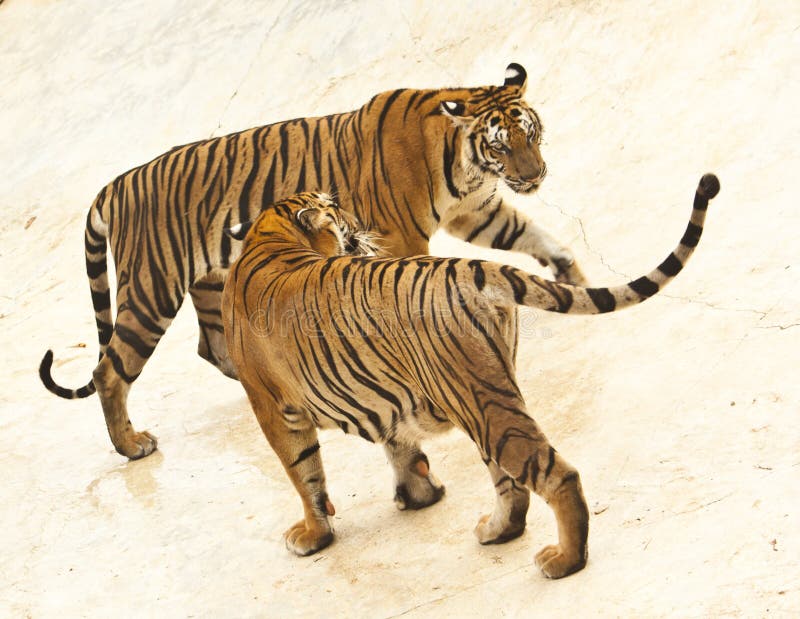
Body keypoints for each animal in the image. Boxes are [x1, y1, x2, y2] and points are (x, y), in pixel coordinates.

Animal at [39, 62, 589, 460]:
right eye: (501, 145)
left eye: (531, 135)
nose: (535, 175)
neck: (466, 163)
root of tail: (114, 186)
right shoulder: (405, 236)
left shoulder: (478, 212)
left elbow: (542, 239)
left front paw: (575, 282)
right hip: (152, 291)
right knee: (111, 372)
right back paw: (132, 445)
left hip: (211, 281)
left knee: (212, 347)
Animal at [220, 174, 720, 579]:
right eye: (339, 213)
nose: (360, 225)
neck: (269, 236)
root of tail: (468, 267)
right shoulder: (382, 396)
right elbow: (399, 446)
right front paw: (420, 494)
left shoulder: (273, 410)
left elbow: (304, 475)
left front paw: (311, 535)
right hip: (483, 397)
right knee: (510, 485)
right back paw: (498, 531)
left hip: (481, 404)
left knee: (557, 476)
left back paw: (564, 560)